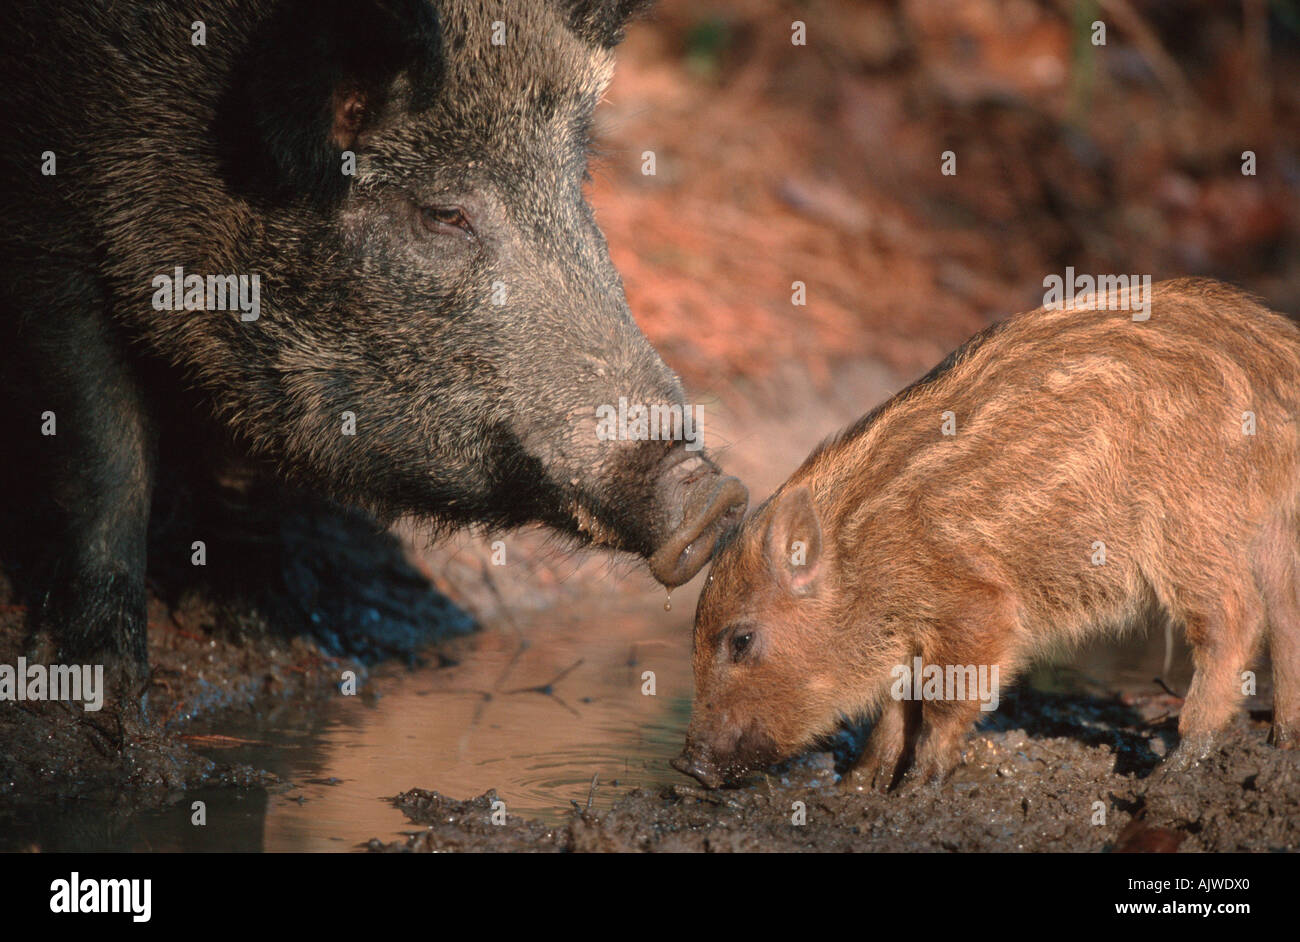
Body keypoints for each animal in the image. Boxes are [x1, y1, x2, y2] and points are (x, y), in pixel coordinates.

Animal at [0, 0, 746, 695]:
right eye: (444, 213)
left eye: (574, 185)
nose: (719, 495)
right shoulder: (49, 245)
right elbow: (107, 458)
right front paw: (100, 691)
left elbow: (238, 475)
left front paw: (257, 624)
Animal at [675, 278, 1300, 790]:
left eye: (741, 640)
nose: (687, 766)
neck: (866, 553)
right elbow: (898, 706)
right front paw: (860, 786)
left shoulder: (977, 607)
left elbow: (943, 700)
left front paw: (917, 788)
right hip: (1271, 526)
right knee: (1284, 614)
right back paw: (1282, 746)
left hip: (1191, 524)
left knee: (1235, 618)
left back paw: (1179, 766)